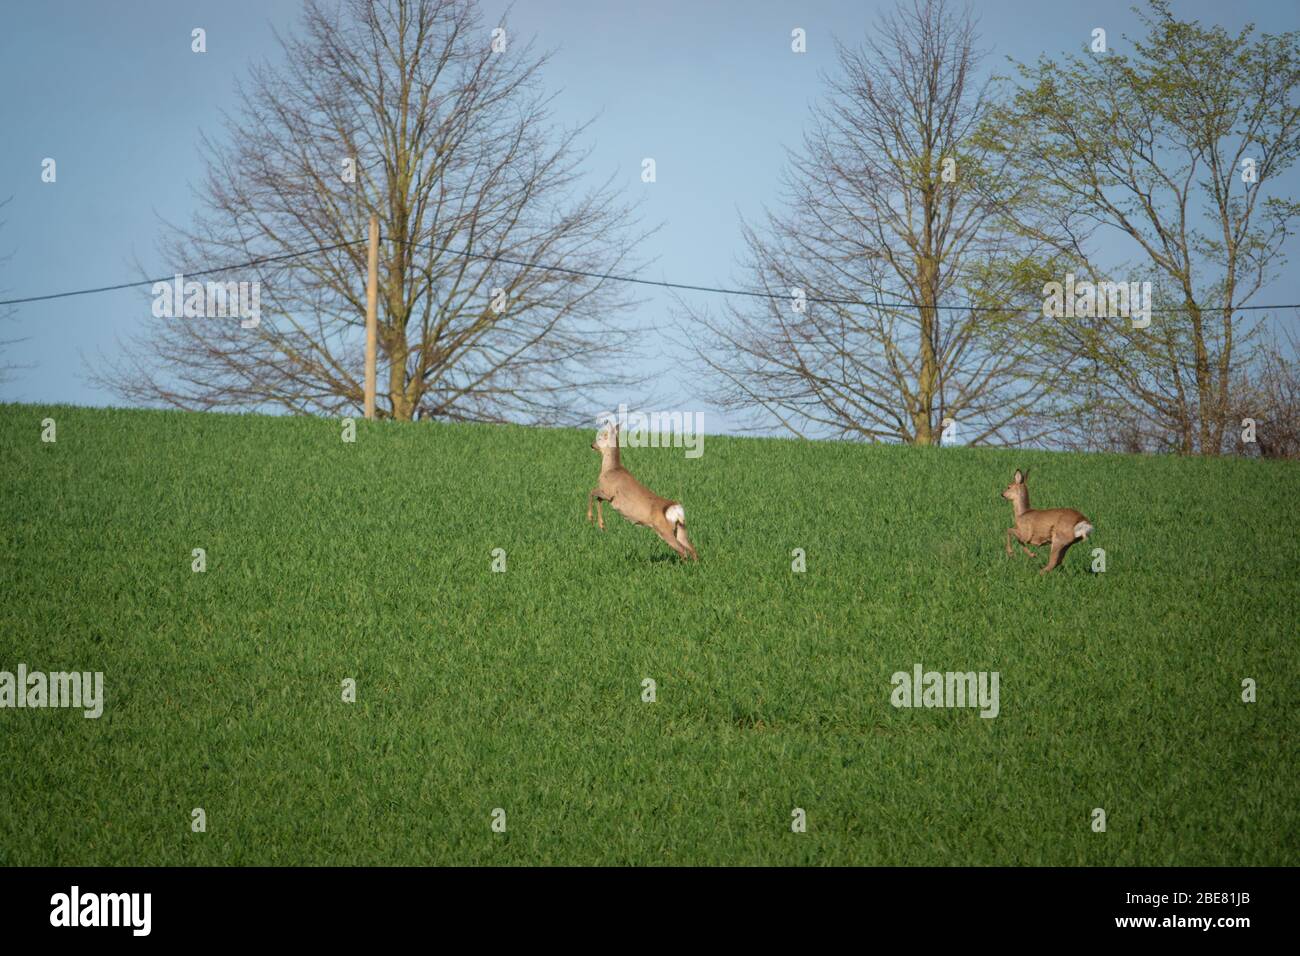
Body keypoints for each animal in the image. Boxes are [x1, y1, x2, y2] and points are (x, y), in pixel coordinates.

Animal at [587, 422, 698, 561]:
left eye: (603, 436)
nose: (592, 445)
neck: (610, 469)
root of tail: (676, 510)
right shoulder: (607, 496)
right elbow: (597, 499)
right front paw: (602, 525)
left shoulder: (608, 492)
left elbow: (591, 492)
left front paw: (590, 519)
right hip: (680, 529)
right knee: (693, 550)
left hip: (664, 530)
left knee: (683, 550)